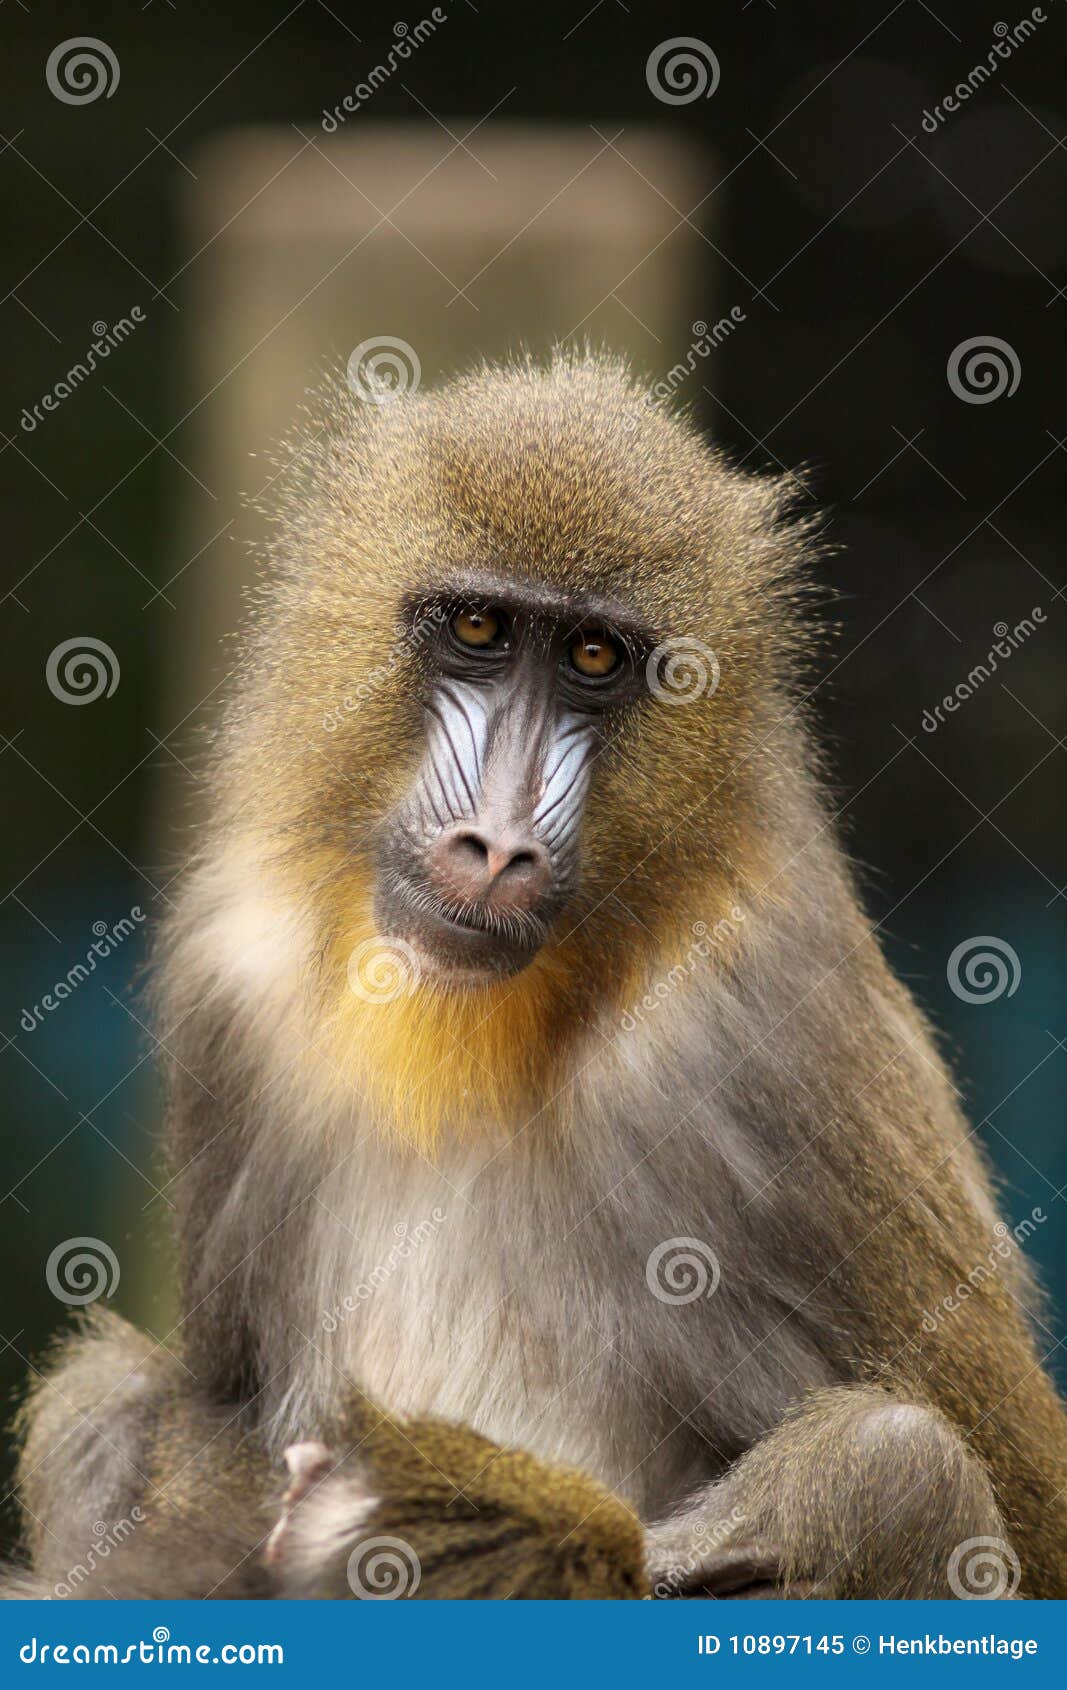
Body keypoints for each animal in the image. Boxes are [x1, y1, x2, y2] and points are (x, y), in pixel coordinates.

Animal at [8, 349, 1067, 1601]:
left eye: (593, 658)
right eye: (478, 624)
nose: (496, 847)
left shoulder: (761, 1025)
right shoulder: (237, 972)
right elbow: (203, 1416)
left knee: (899, 1458)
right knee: (101, 1399)